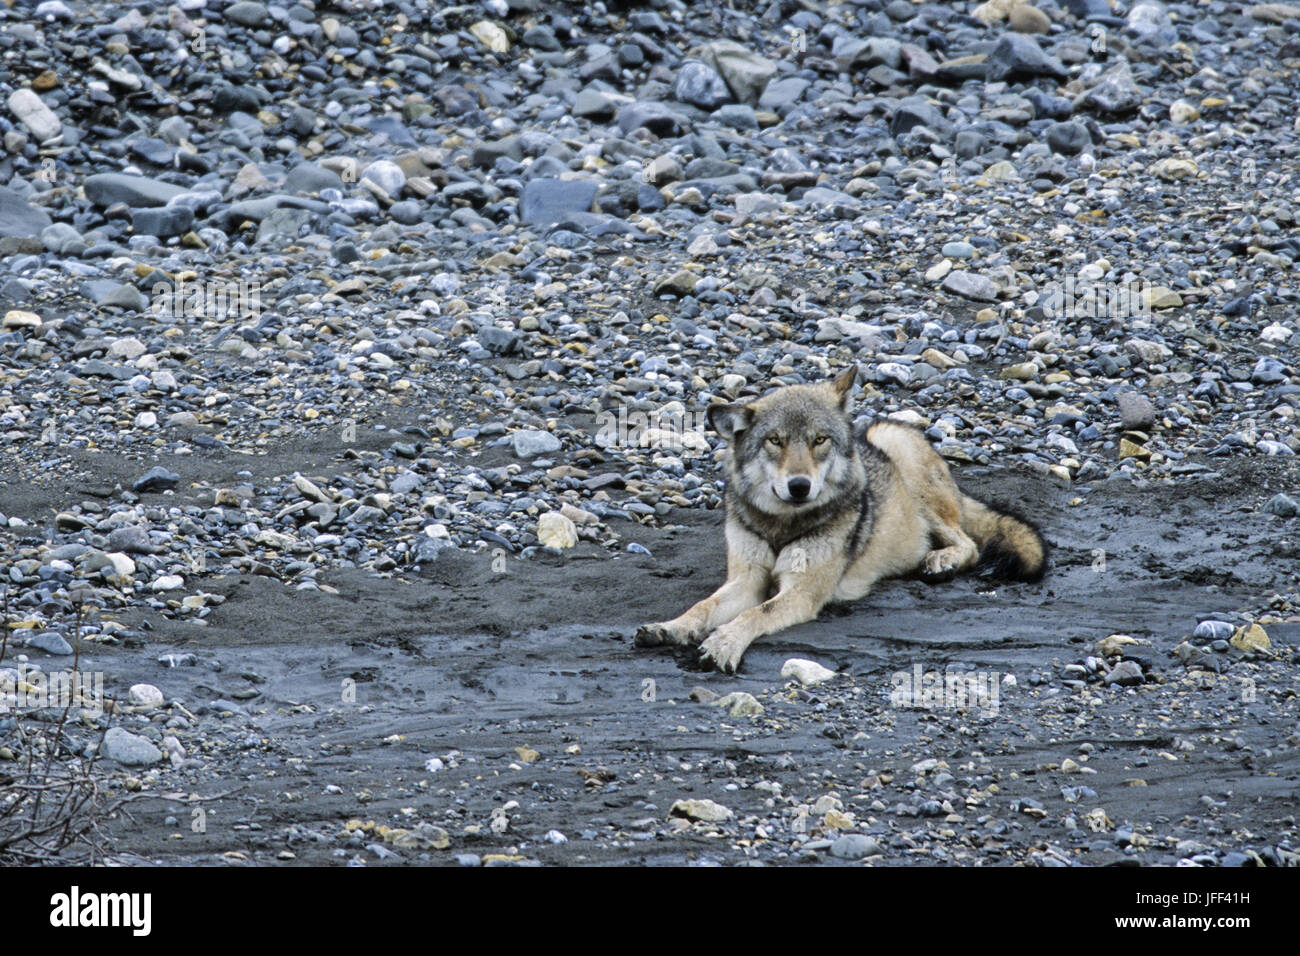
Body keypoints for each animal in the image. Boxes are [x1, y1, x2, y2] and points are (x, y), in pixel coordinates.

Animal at [635, 366, 1048, 673]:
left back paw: (940, 560)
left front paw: (722, 643)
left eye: (819, 440)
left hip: (900, 452)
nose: (799, 486)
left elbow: (755, 613)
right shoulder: (746, 580)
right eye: (775, 441)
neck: (781, 526)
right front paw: (669, 628)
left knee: (969, 543)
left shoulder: (802, 593)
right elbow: (703, 607)